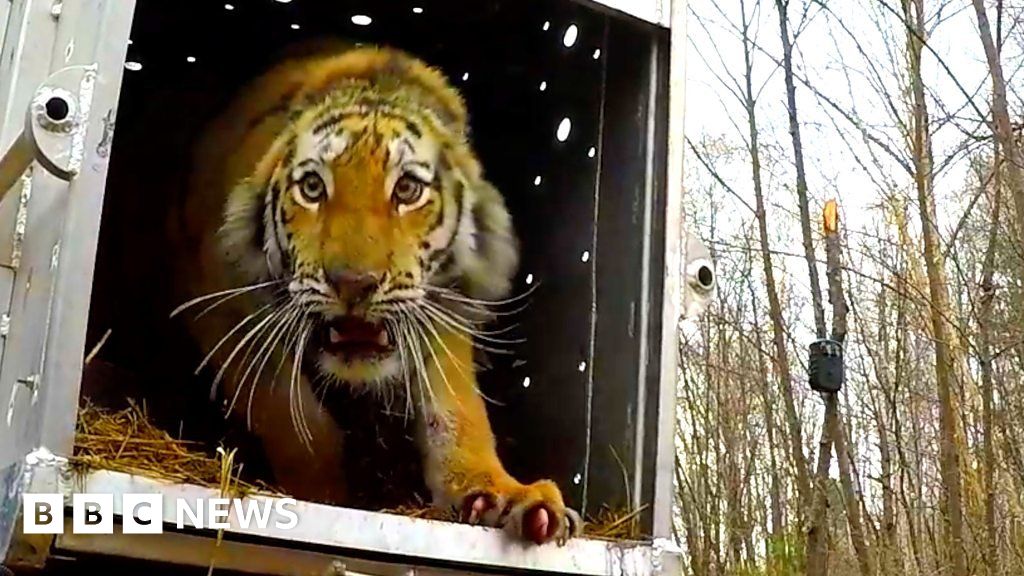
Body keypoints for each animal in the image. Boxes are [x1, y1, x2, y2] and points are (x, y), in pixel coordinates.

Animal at [166, 42, 582, 545]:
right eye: (312, 187)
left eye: (407, 189)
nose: (353, 282)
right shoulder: (225, 305)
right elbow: (292, 419)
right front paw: (323, 495)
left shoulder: (442, 307)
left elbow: (459, 416)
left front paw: (510, 496)